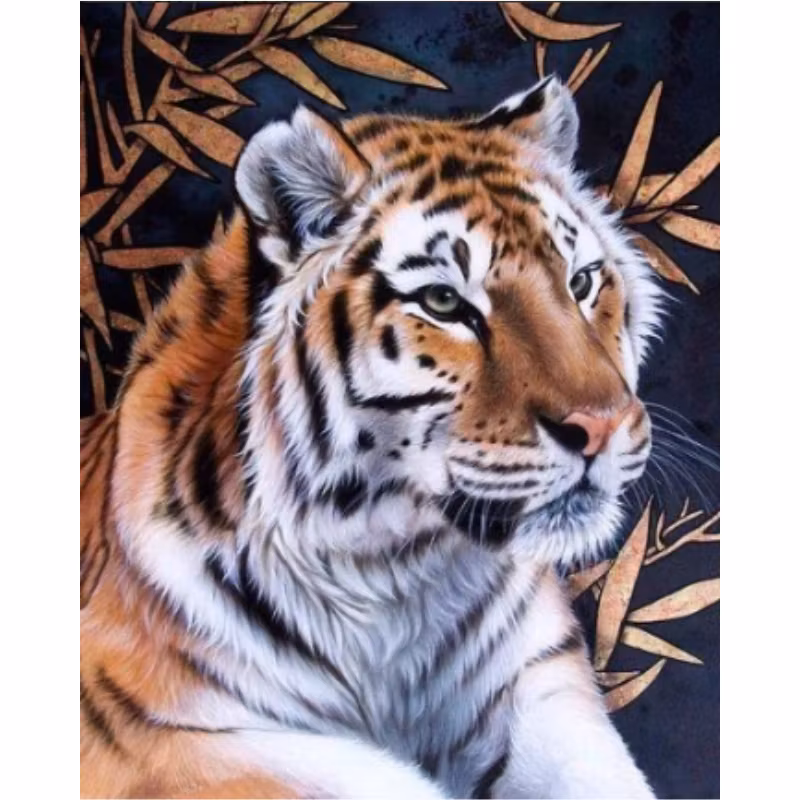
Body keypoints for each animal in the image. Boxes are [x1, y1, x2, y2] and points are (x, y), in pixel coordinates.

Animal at [80, 75, 664, 799]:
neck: (394, 573)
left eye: (580, 282)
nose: (604, 424)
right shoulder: (158, 736)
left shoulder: (540, 684)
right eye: (443, 303)